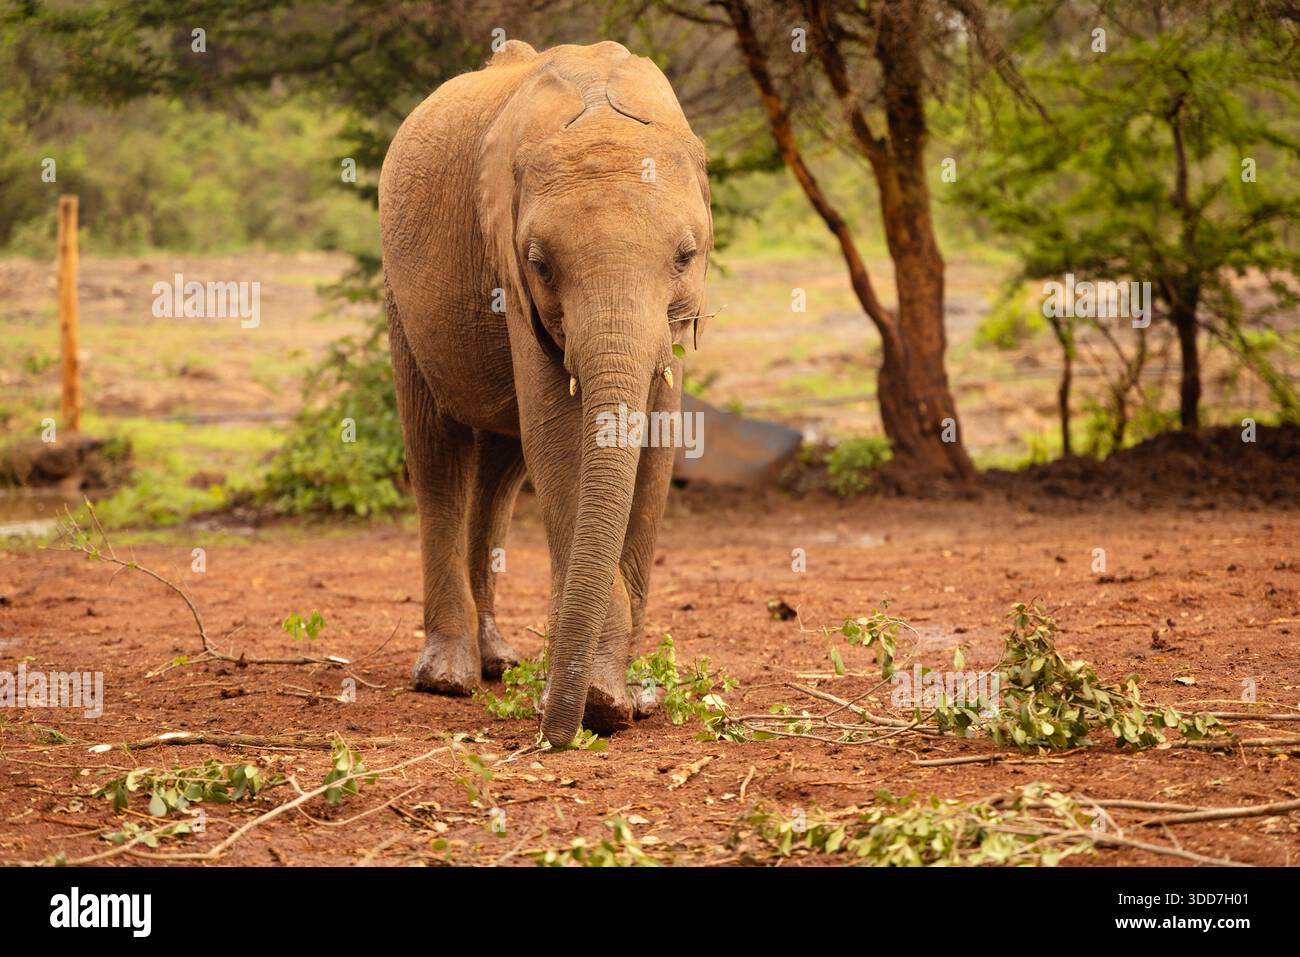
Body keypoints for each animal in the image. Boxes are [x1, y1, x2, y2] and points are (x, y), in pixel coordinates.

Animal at [378, 40, 712, 748]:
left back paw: (499, 661)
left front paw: (620, 701)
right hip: (399, 291)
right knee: (438, 455)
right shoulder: (508, 271)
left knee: (502, 466)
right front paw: (601, 703)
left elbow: (657, 441)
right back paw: (449, 676)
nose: (549, 736)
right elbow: (558, 433)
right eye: (541, 265)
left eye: (685, 256)